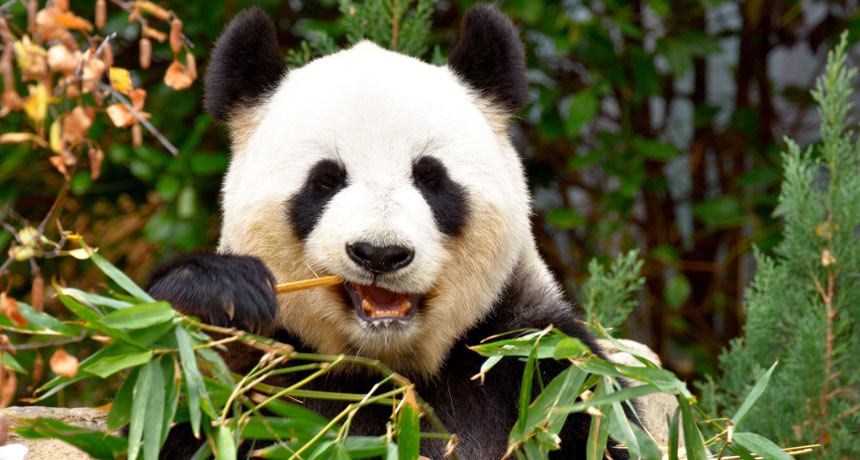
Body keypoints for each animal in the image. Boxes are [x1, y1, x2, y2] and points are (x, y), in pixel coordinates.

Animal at [148, 4, 635, 459]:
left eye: (431, 178)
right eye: (324, 181)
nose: (379, 254)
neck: (385, 369)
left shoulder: (538, 364)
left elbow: (588, 420)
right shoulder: (263, 376)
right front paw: (218, 296)